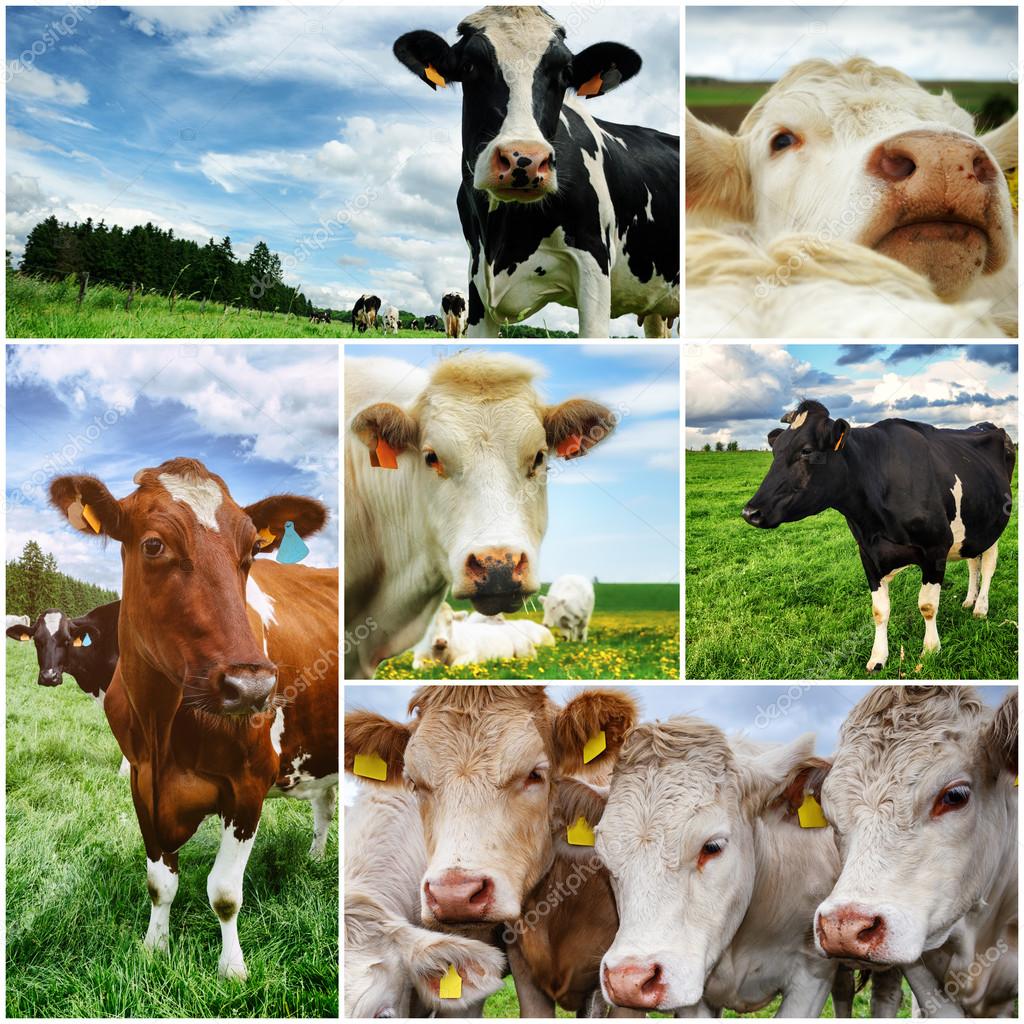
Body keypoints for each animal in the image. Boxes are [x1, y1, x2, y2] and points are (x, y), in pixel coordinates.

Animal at [49, 457, 338, 979]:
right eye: (153, 545)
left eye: (252, 549)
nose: (252, 687)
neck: (164, 725)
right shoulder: (142, 780)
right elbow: (159, 881)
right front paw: (155, 947)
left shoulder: (249, 784)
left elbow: (224, 893)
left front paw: (232, 968)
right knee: (324, 805)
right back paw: (316, 857)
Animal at [394, 7, 679, 338]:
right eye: (468, 65)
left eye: (565, 73)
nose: (524, 158)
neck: (503, 235)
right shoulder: (477, 279)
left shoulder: (594, 261)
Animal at [741, 400, 1014, 672]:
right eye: (775, 451)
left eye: (806, 451)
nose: (749, 512)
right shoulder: (868, 553)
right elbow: (879, 610)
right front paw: (878, 657)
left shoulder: (936, 547)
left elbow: (927, 606)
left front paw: (929, 651)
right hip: (971, 529)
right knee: (973, 562)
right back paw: (969, 600)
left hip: (993, 526)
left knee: (988, 566)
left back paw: (981, 607)